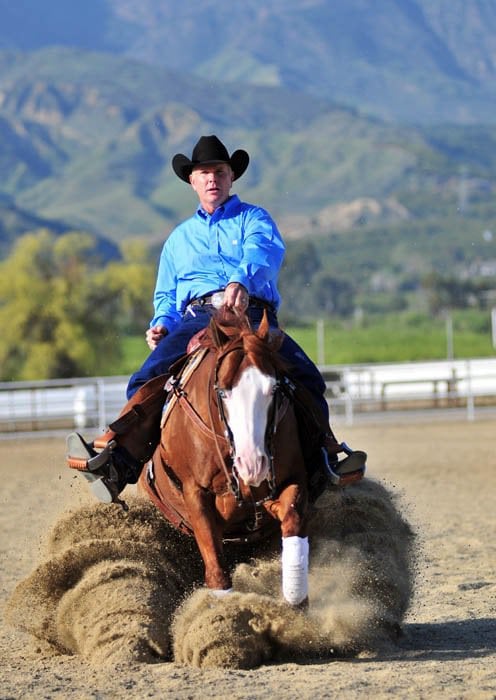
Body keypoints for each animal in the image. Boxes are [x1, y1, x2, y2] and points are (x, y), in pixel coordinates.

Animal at [139, 310, 311, 606]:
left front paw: (294, 599)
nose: (252, 464)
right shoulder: (195, 494)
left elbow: (292, 521)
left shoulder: (293, 479)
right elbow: (217, 570)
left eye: (274, 388)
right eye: (222, 391)